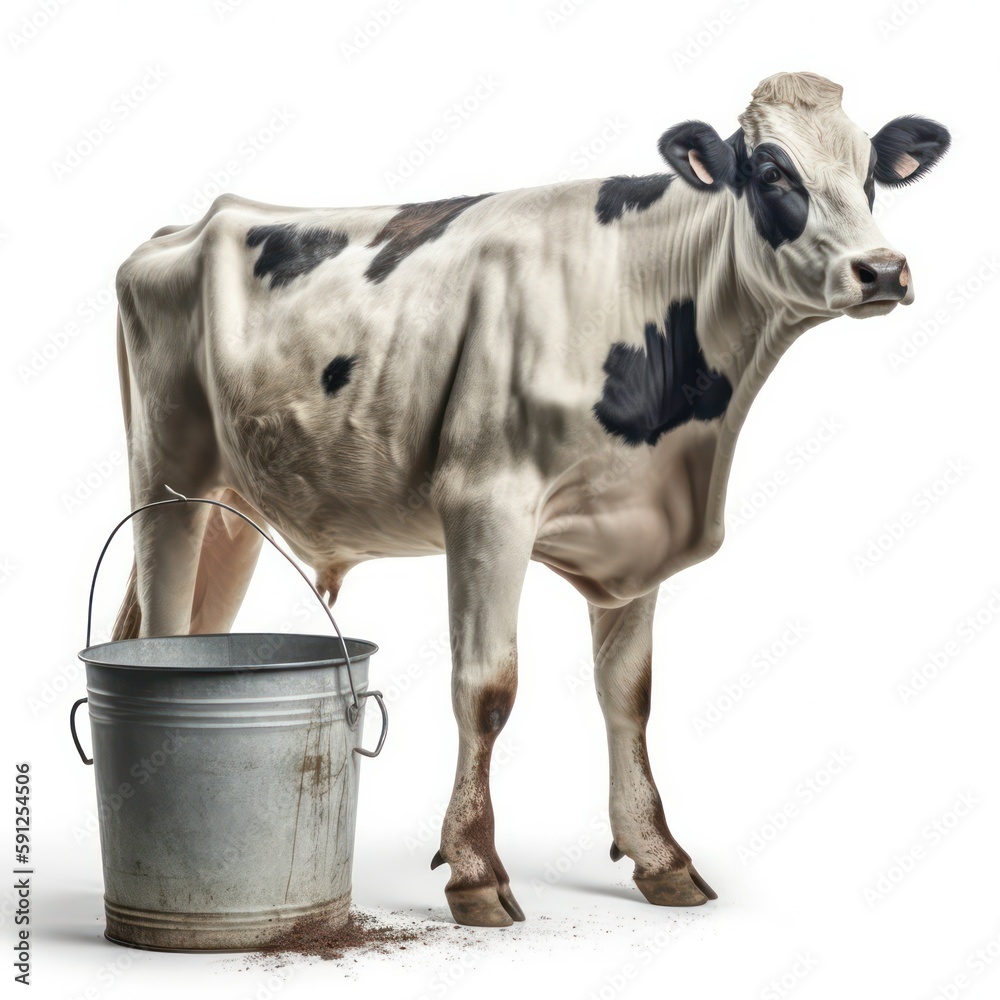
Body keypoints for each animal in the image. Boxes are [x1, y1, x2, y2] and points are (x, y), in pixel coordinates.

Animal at [111, 72, 950, 927]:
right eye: (775, 174)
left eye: (872, 176)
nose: (883, 270)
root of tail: (186, 224)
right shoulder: (487, 505)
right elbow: (486, 687)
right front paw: (475, 871)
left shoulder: (638, 520)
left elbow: (630, 694)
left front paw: (660, 856)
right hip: (167, 474)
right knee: (165, 626)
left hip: (234, 501)